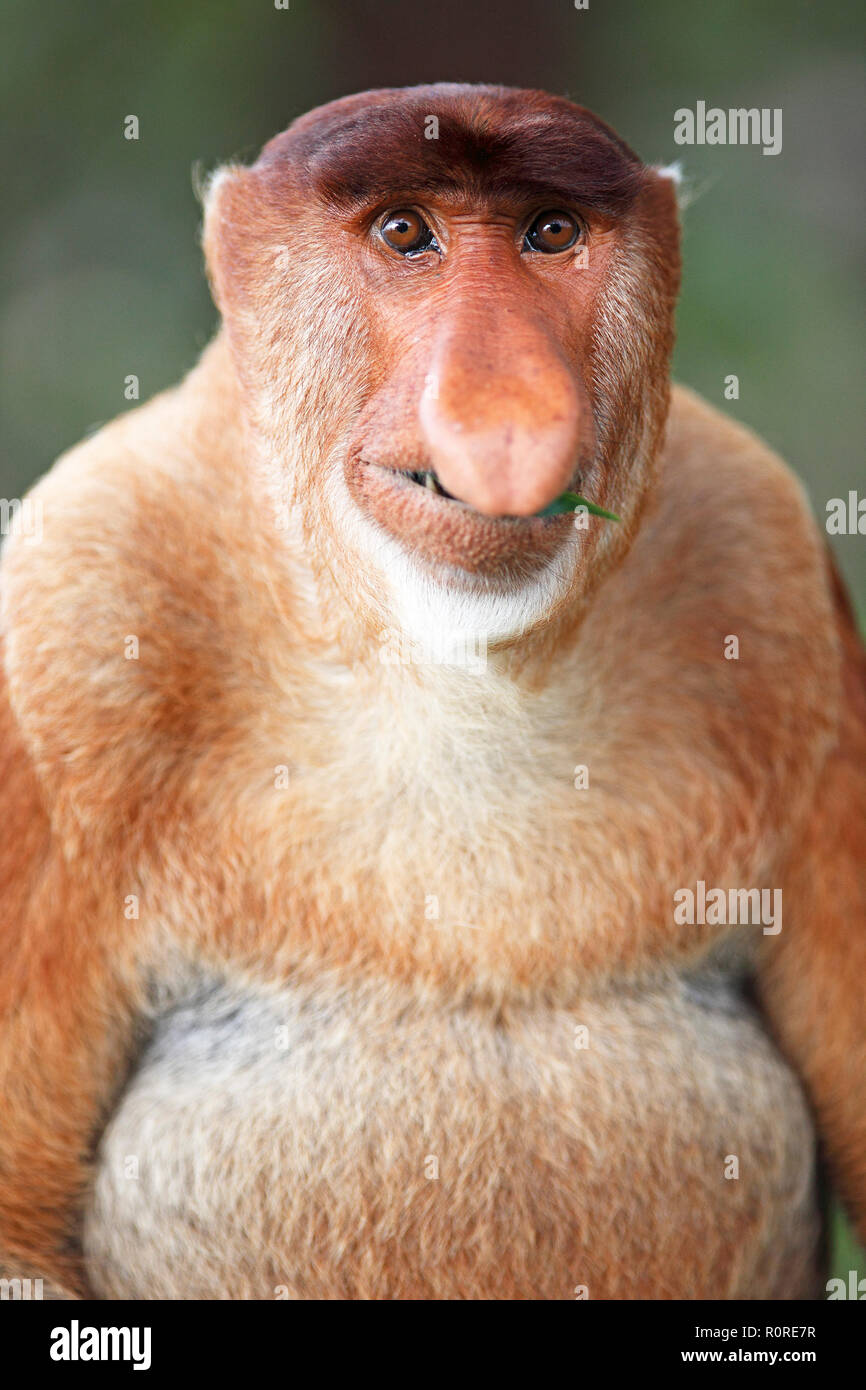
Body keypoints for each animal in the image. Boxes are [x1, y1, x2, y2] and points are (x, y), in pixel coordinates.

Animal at [0, 83, 863, 1301]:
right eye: (405, 231)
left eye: (551, 230)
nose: (502, 408)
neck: (443, 660)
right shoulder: (67, 610)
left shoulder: (766, 557)